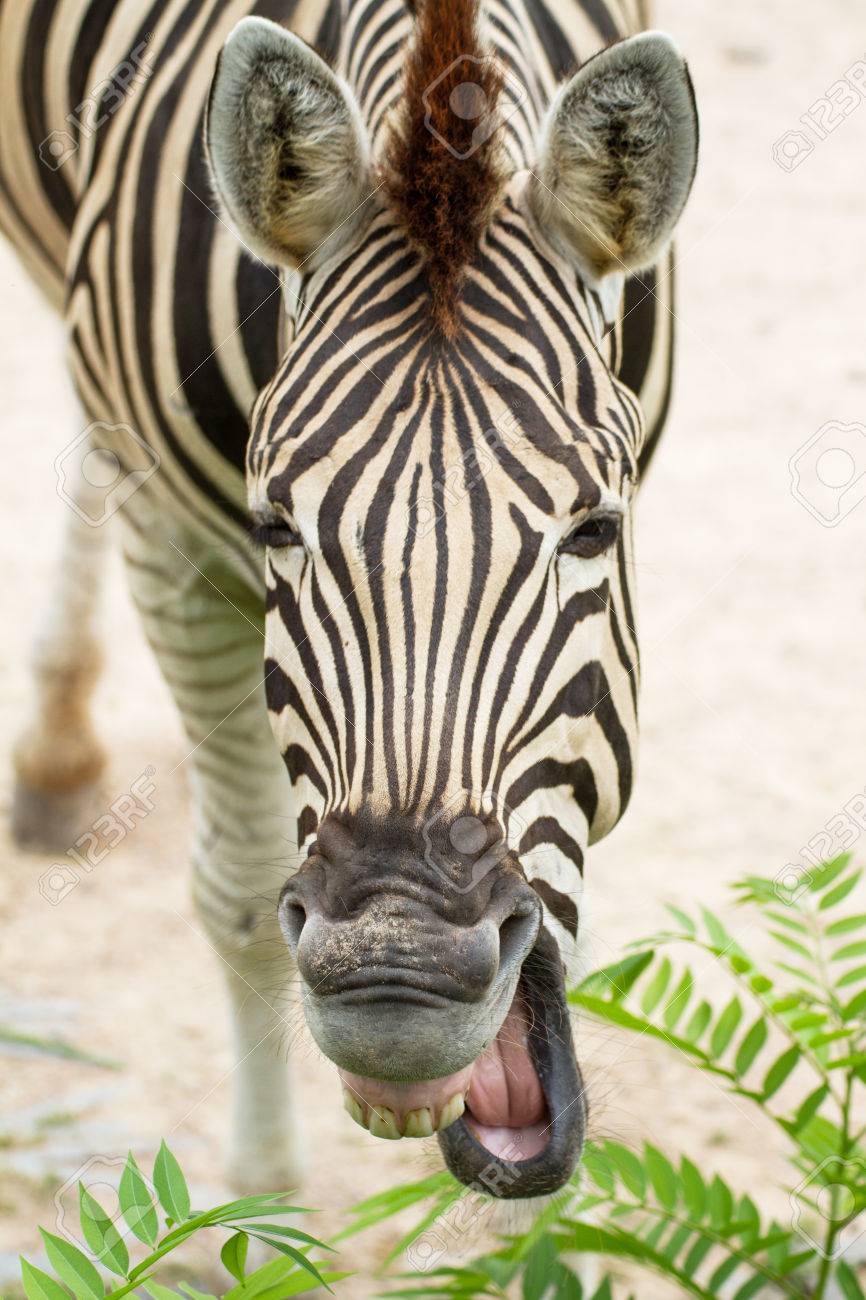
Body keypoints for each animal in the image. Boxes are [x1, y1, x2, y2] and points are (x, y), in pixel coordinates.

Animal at [0, 0, 697, 1198]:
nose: (394, 993)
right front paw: (254, 1213)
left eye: (594, 531)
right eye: (277, 529)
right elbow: (236, 891)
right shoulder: (174, 545)